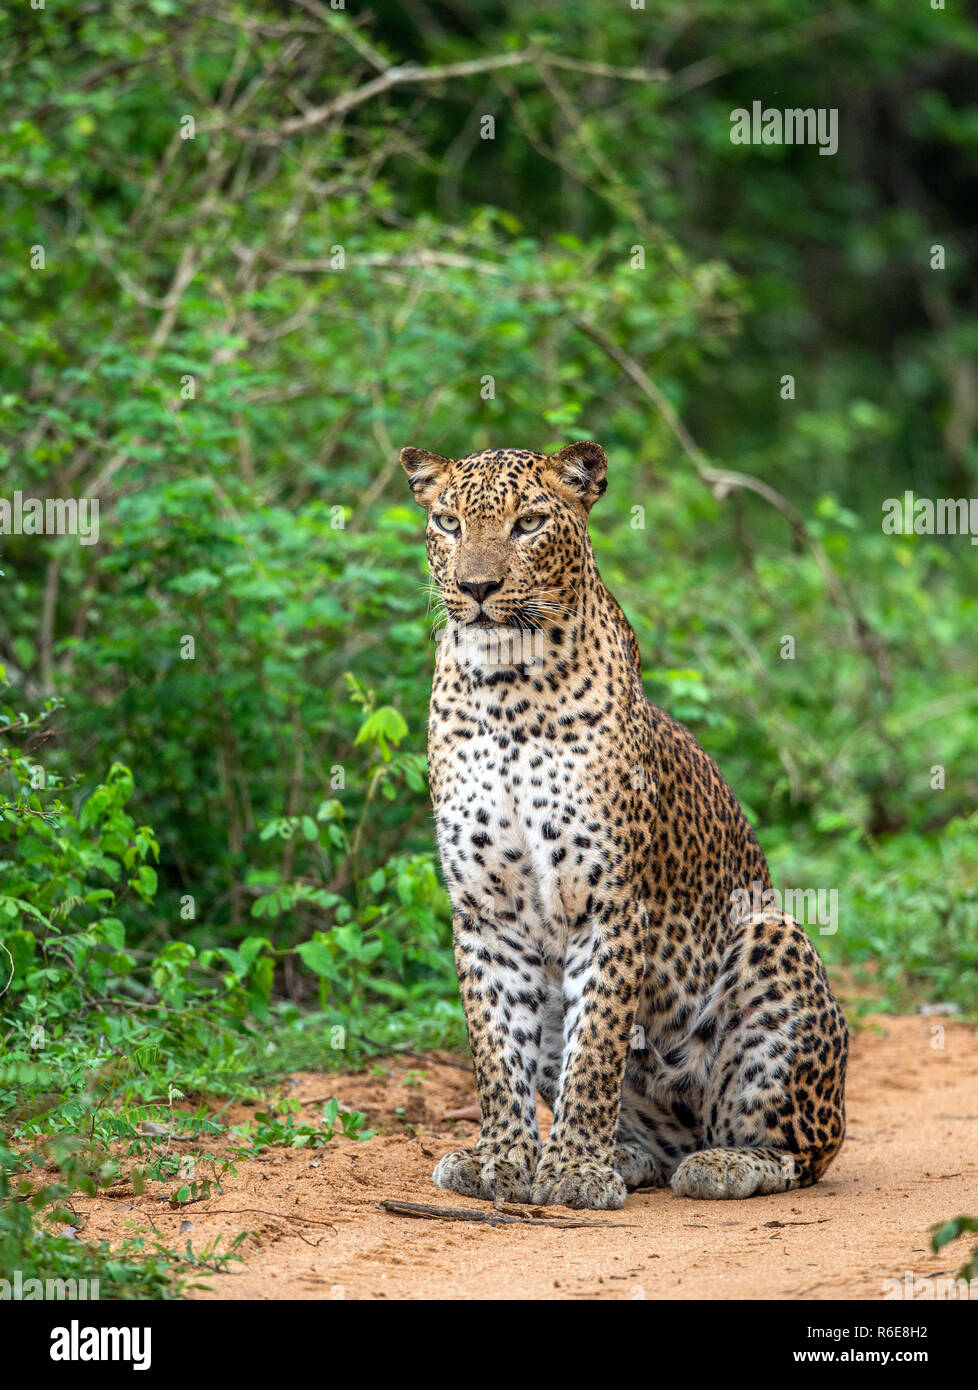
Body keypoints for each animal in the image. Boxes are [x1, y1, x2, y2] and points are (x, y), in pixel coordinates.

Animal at [400, 439, 847, 1210]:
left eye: (528, 523)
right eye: (448, 522)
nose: (477, 587)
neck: (504, 690)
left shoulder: (609, 903)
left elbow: (597, 1051)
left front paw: (575, 1172)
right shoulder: (486, 912)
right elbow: (495, 1049)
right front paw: (500, 1159)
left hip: (773, 939)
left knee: (799, 1150)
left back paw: (720, 1164)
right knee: (654, 1142)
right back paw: (629, 1156)